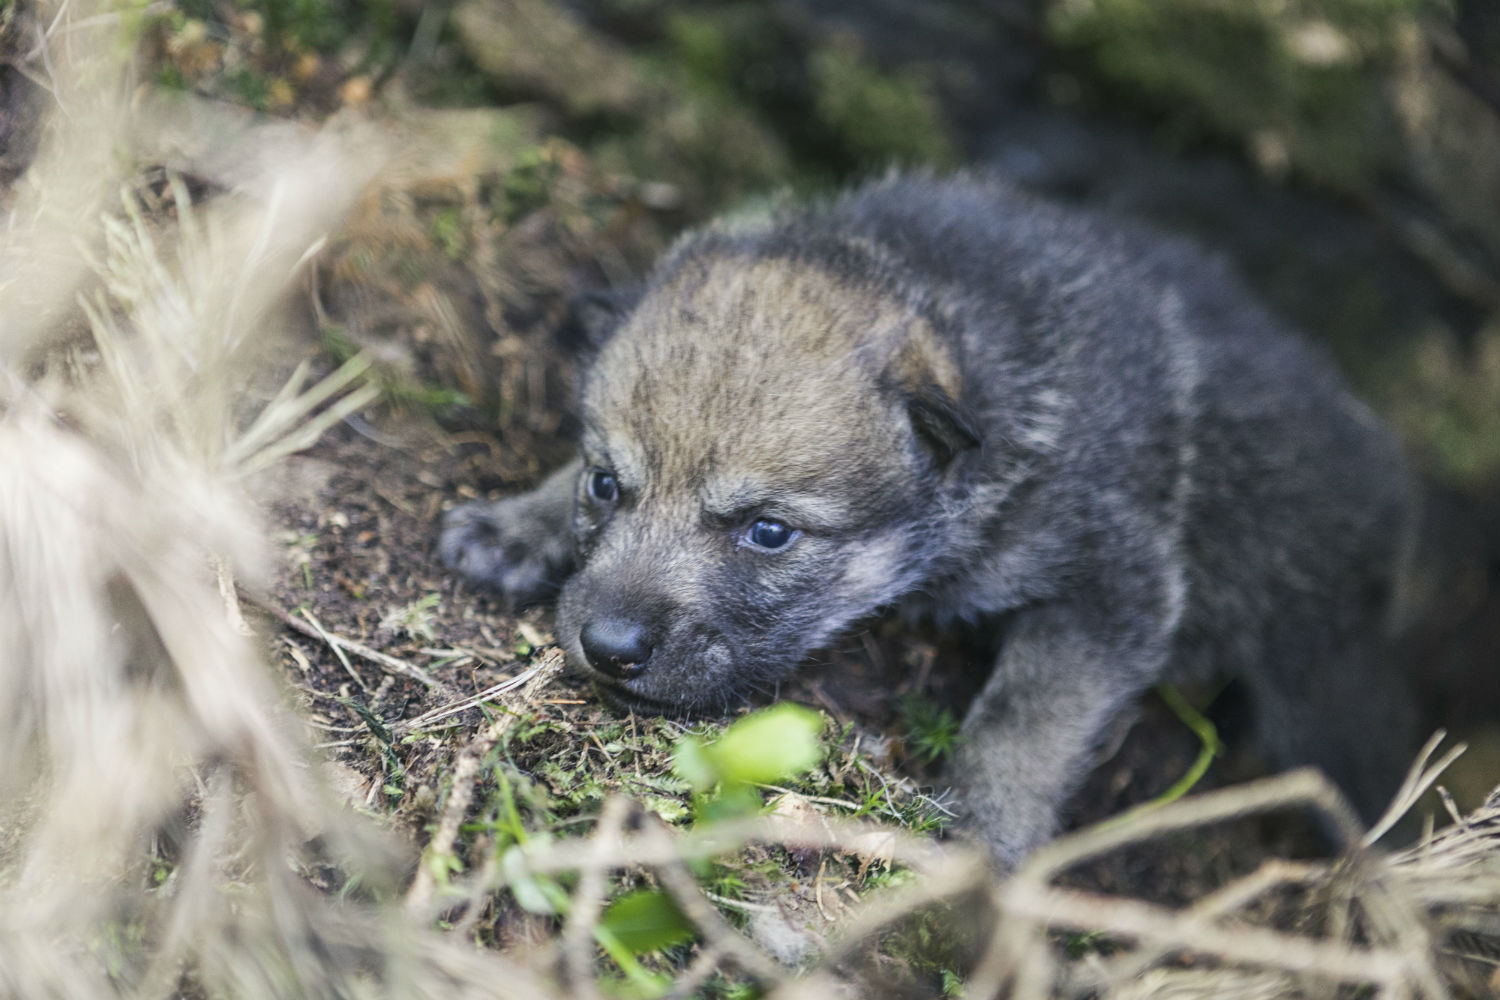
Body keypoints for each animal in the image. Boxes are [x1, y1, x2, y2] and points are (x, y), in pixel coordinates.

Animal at [440, 173, 1418, 866]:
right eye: (606, 485)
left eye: (768, 531)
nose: (608, 647)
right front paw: (518, 523)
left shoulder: (1114, 583)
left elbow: (1026, 722)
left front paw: (986, 832)